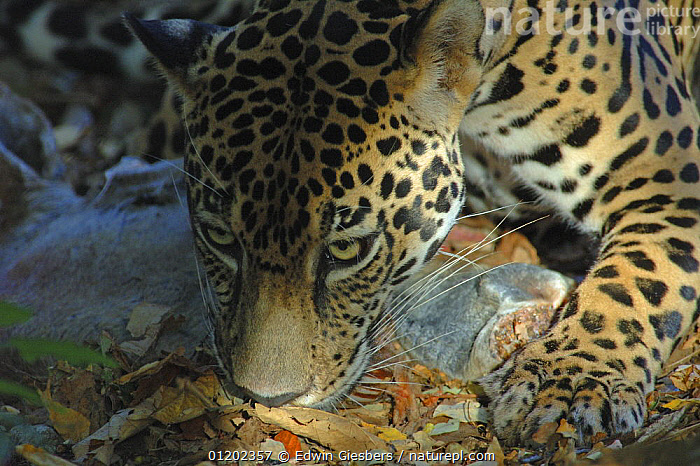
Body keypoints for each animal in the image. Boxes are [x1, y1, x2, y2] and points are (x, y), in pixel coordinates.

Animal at [3, 0, 699, 445]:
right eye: (222, 238)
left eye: (346, 251)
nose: (268, 401)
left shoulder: (668, 175)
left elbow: (635, 281)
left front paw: (570, 385)